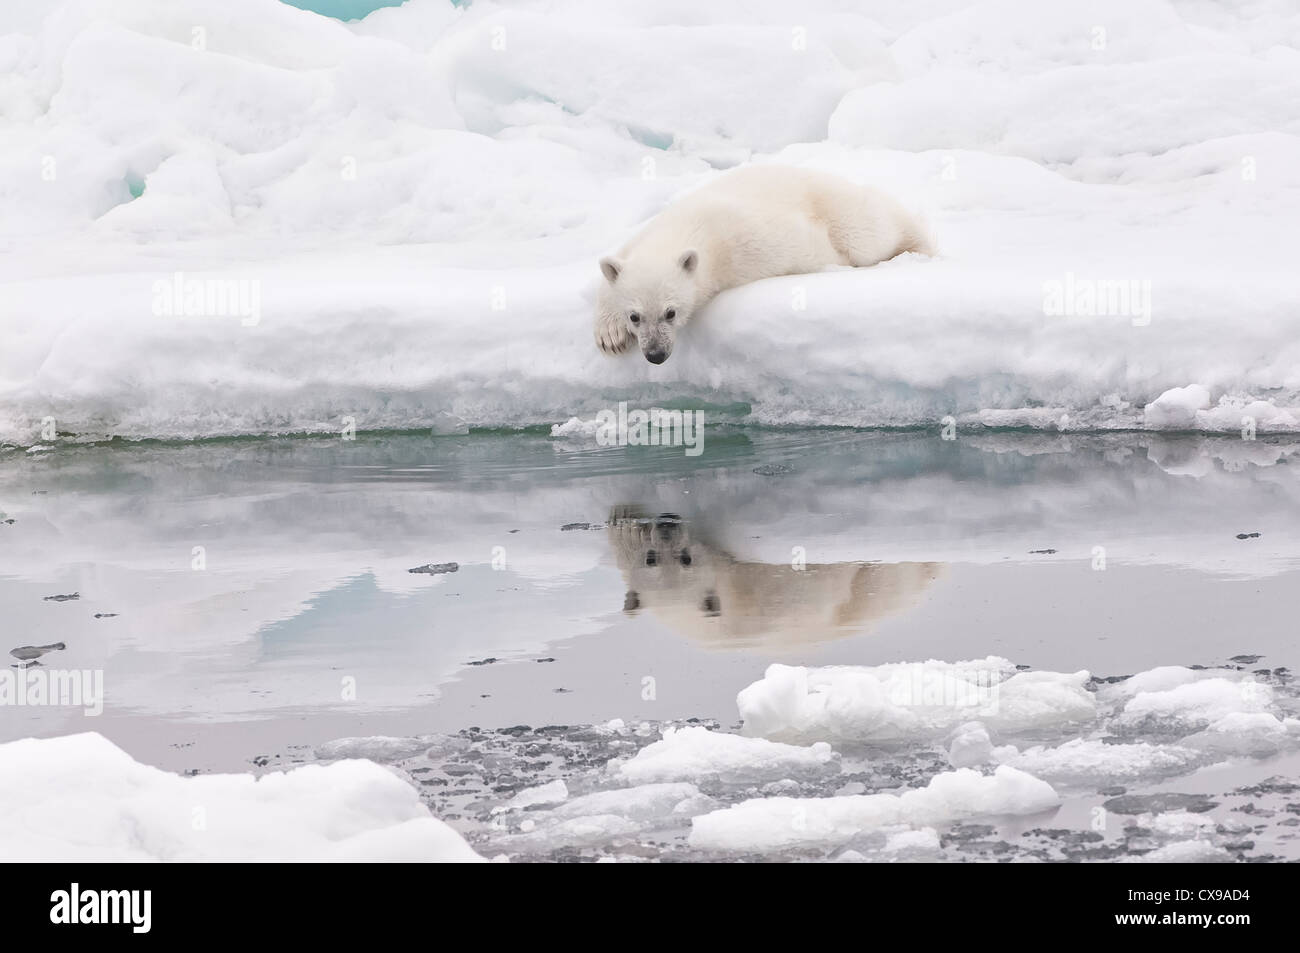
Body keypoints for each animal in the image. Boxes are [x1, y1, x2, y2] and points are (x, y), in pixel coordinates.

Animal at [594, 164, 933, 364]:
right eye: (634, 316)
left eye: (670, 312)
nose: (655, 354)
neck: (690, 226)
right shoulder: (639, 239)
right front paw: (610, 336)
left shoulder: (752, 241)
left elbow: (812, 248)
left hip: (846, 209)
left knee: (873, 231)